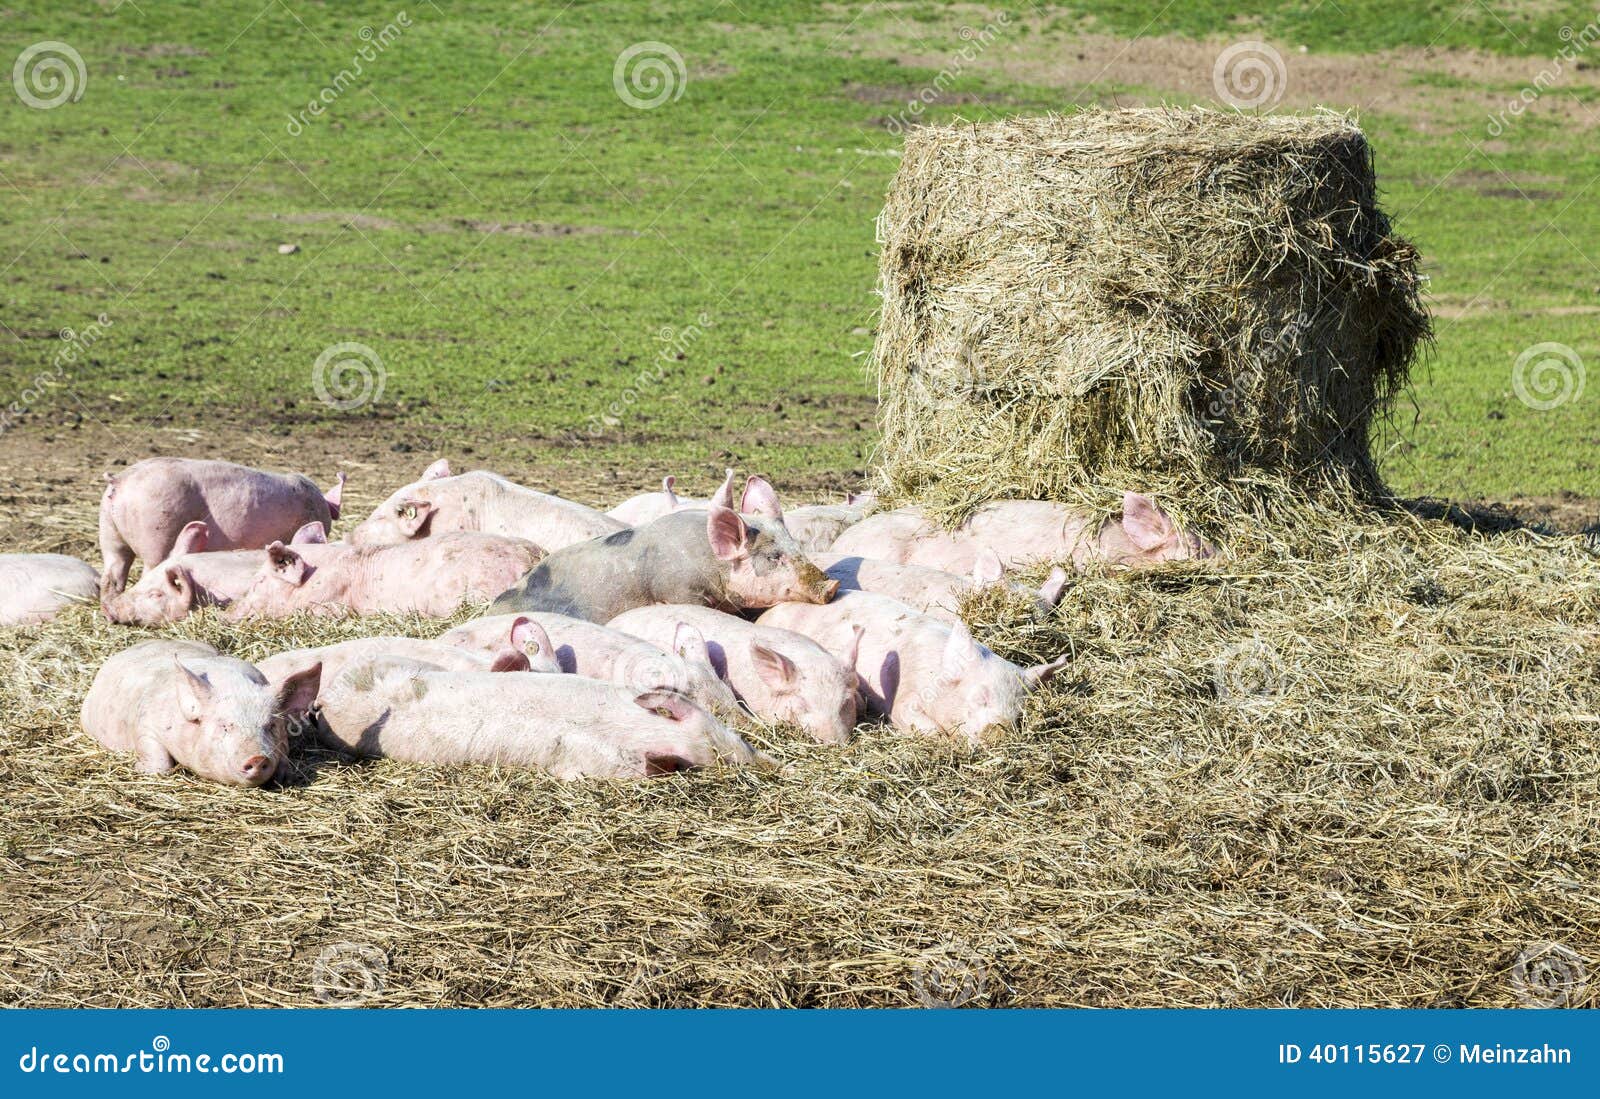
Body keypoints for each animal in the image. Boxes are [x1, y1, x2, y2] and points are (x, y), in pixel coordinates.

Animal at [80, 640, 321, 786]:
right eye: (225, 726)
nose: (257, 757)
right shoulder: (146, 724)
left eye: (270, 725)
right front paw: (139, 768)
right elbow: (159, 762)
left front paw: (286, 776)